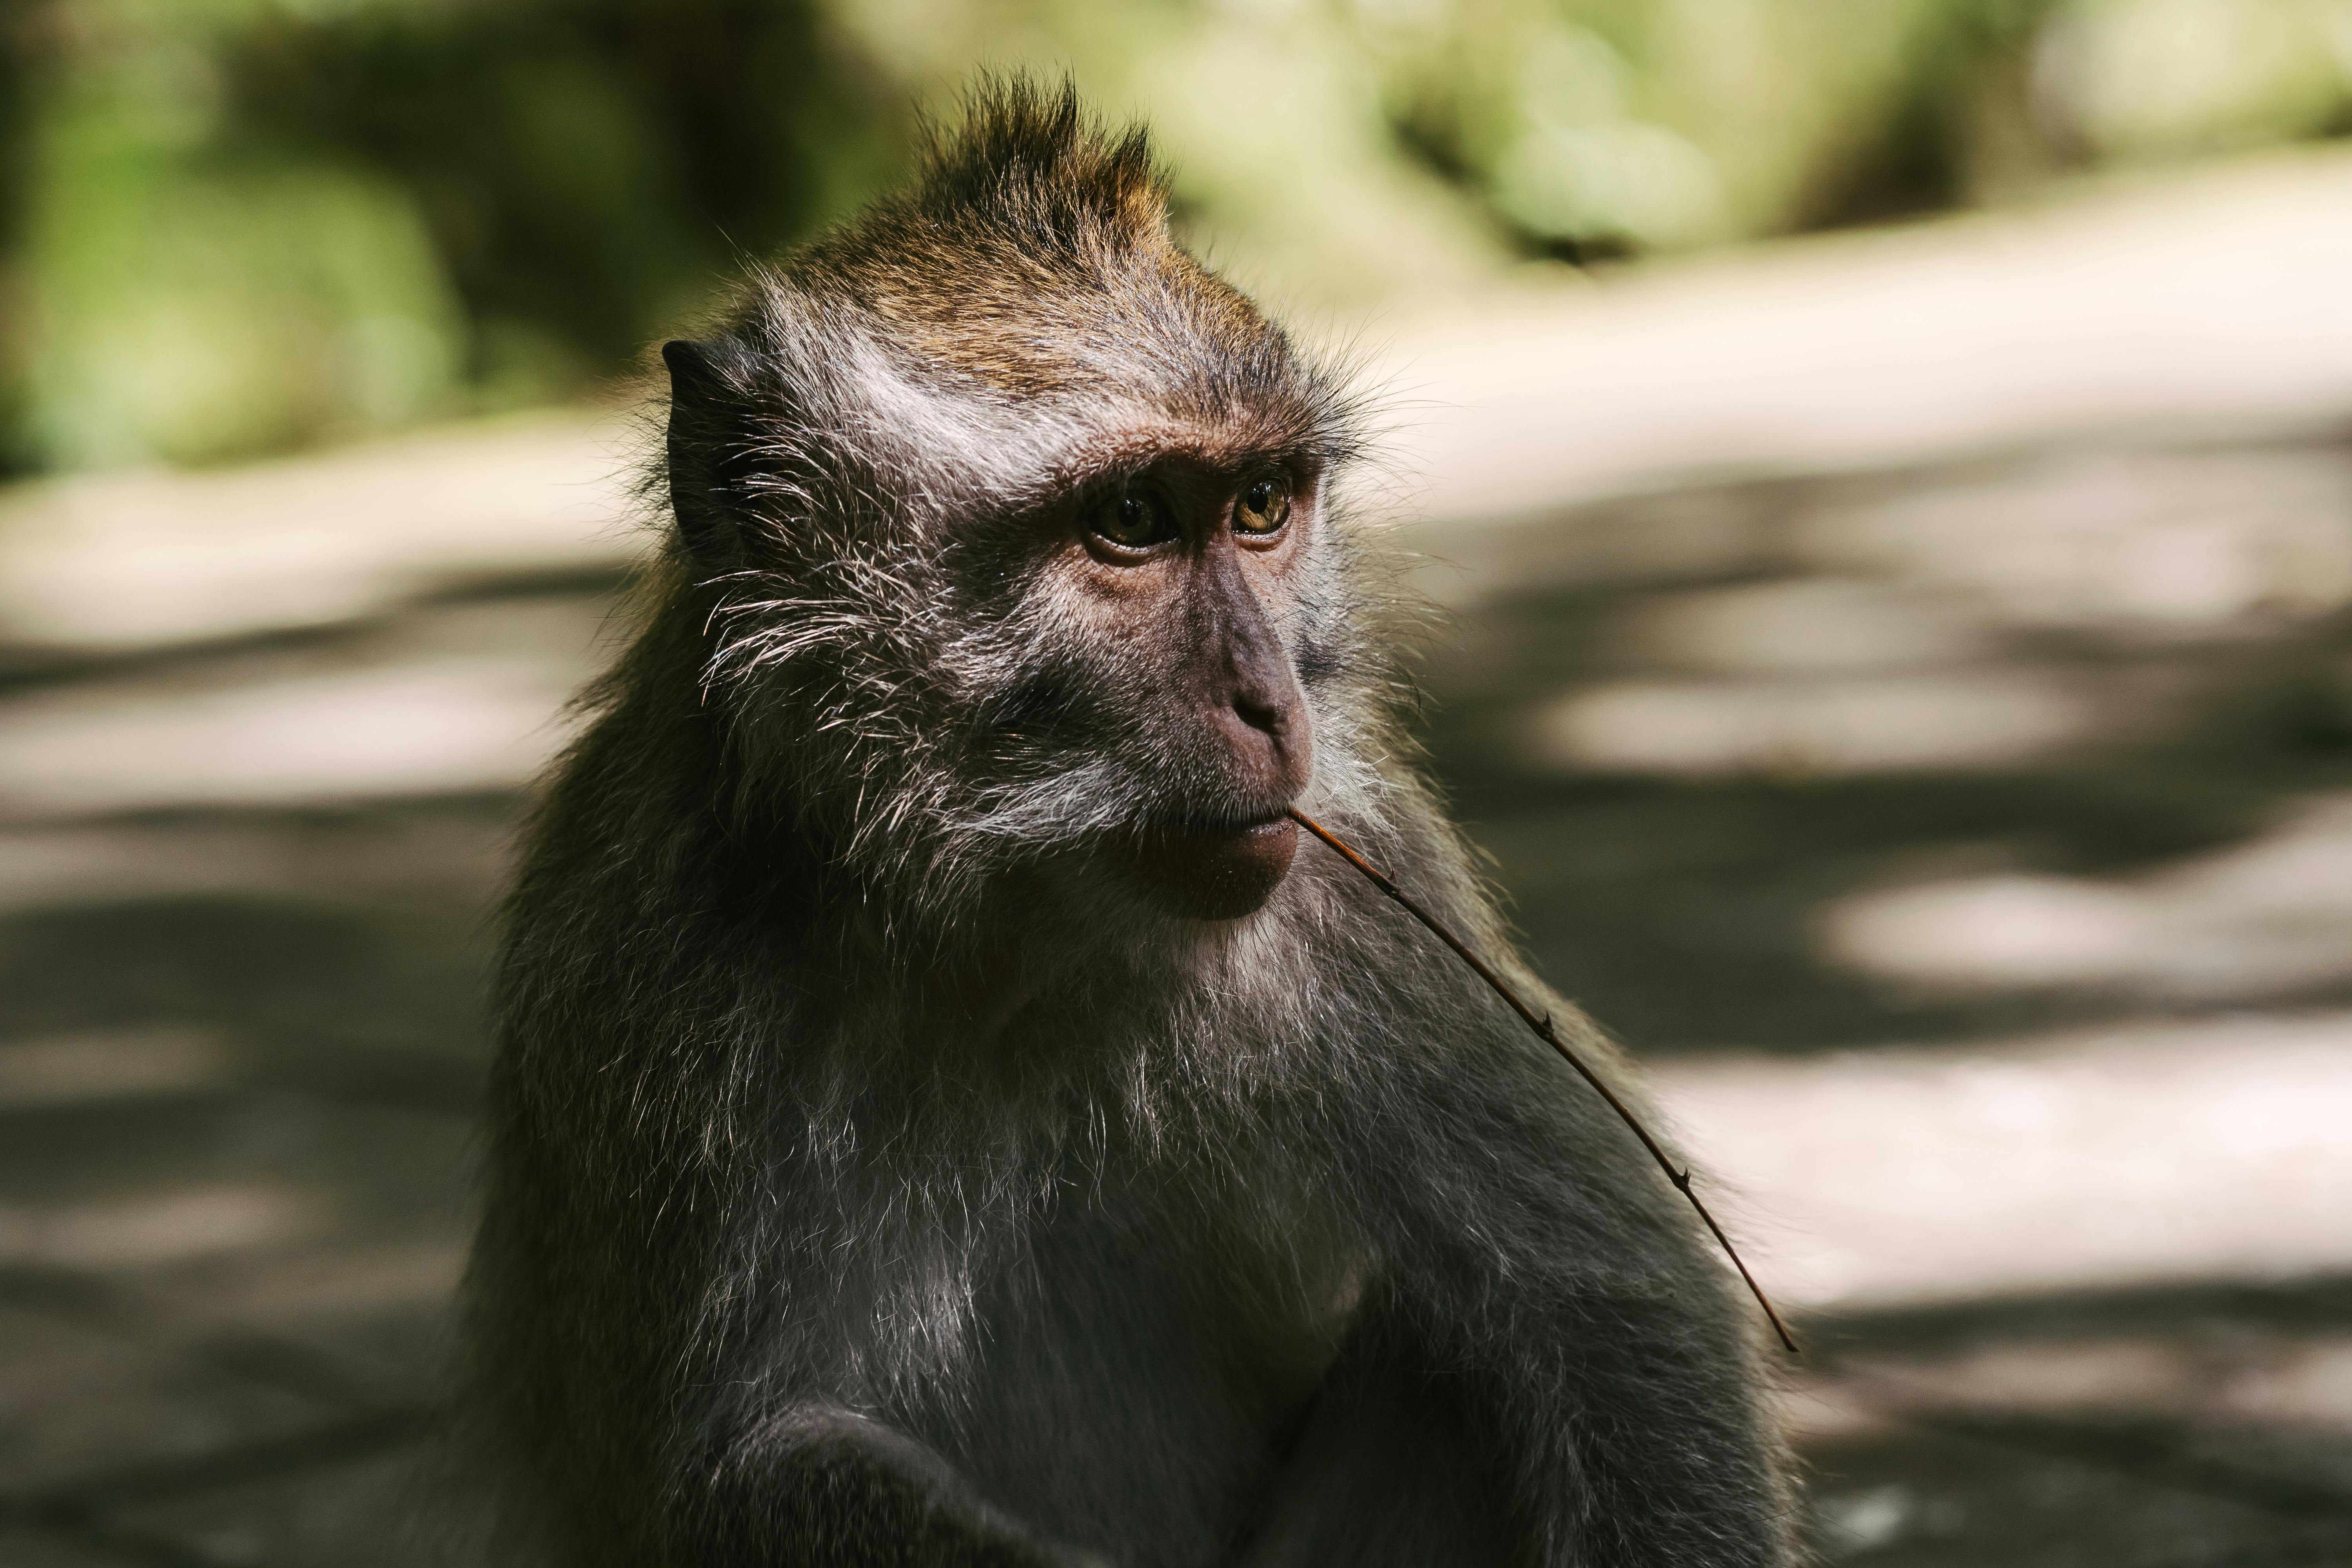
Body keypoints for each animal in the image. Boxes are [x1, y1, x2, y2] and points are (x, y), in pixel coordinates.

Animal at [457, 79, 1795, 1568]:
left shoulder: (1354, 898)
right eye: (1132, 520)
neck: (991, 932)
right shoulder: (645, 991)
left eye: (1262, 506)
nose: (1272, 704)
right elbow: (739, 1472)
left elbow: (1611, 1320)